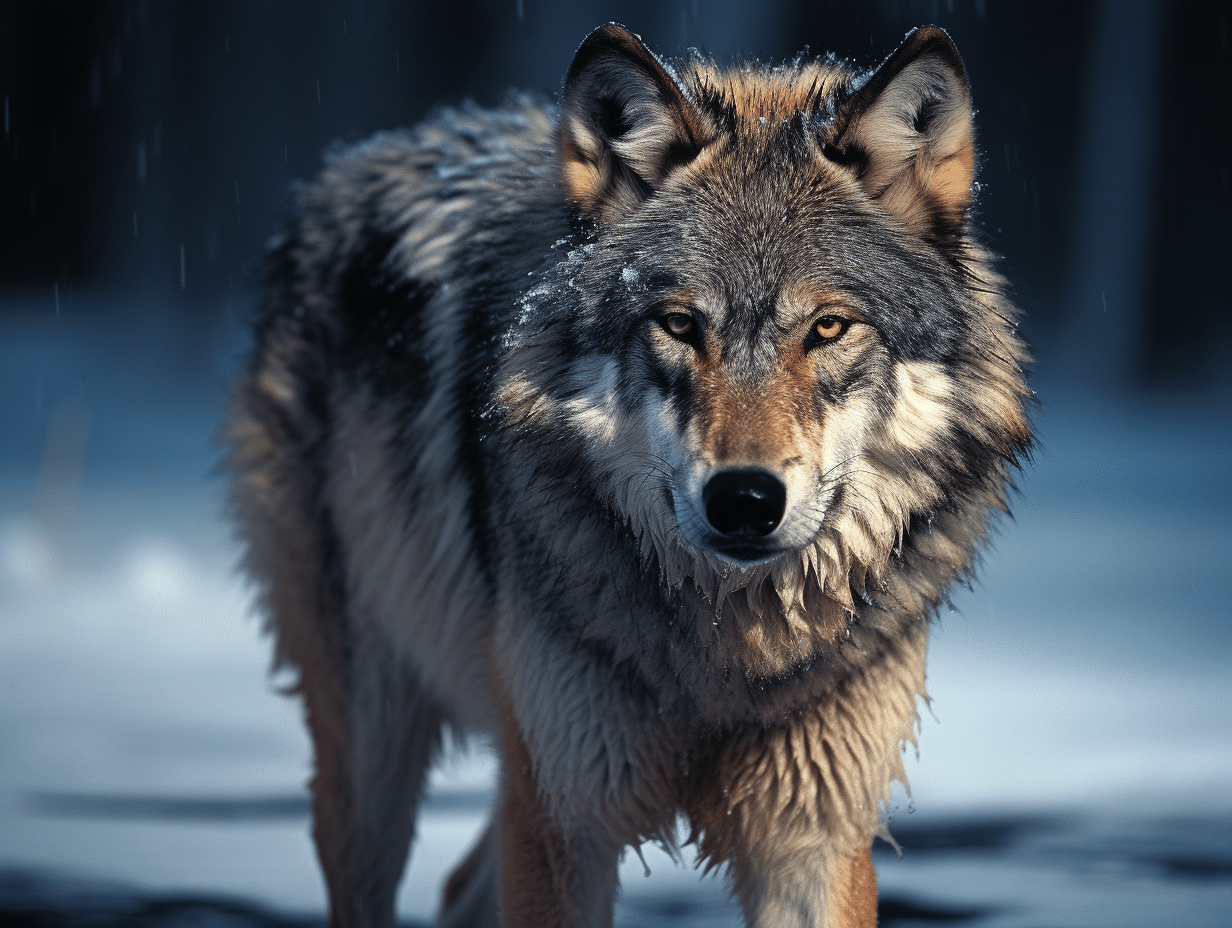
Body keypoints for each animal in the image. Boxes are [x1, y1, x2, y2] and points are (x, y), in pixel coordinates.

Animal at [226, 22, 1031, 928]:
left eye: (828, 327)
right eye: (679, 324)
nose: (744, 500)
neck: (730, 650)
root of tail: (359, 156)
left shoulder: (814, 837)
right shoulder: (565, 817)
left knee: (460, 886)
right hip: (382, 745)